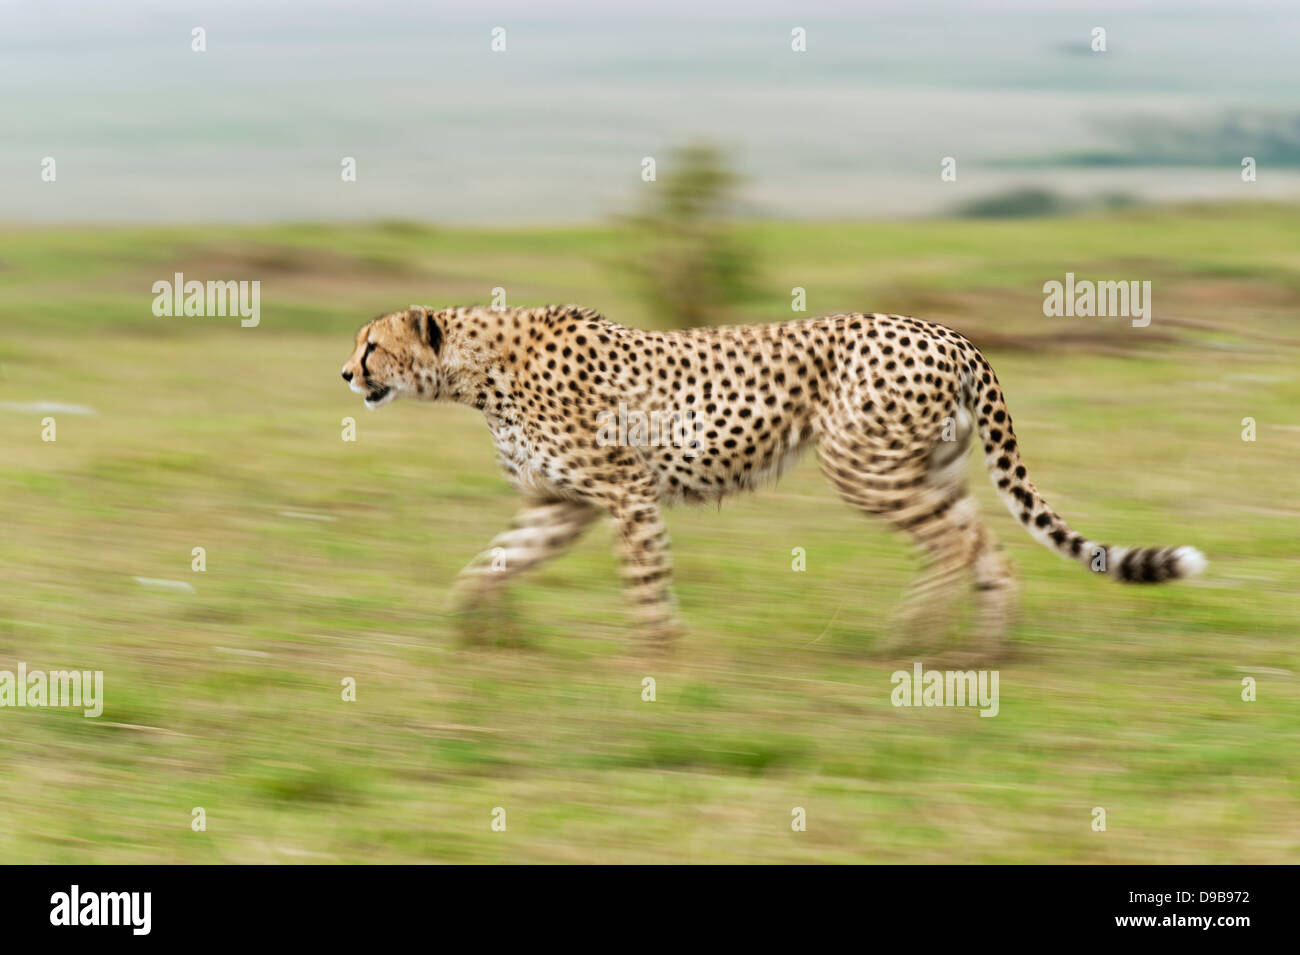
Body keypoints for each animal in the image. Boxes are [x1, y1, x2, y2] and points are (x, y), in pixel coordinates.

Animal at [340, 304, 1205, 659]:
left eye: (371, 344)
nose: (347, 372)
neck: (476, 371)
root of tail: (947, 331)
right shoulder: (561, 504)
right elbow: (491, 563)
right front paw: (474, 632)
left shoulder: (623, 493)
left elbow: (644, 576)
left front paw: (659, 657)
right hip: (923, 467)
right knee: (986, 544)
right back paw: (982, 649)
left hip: (860, 465)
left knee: (955, 545)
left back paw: (910, 638)